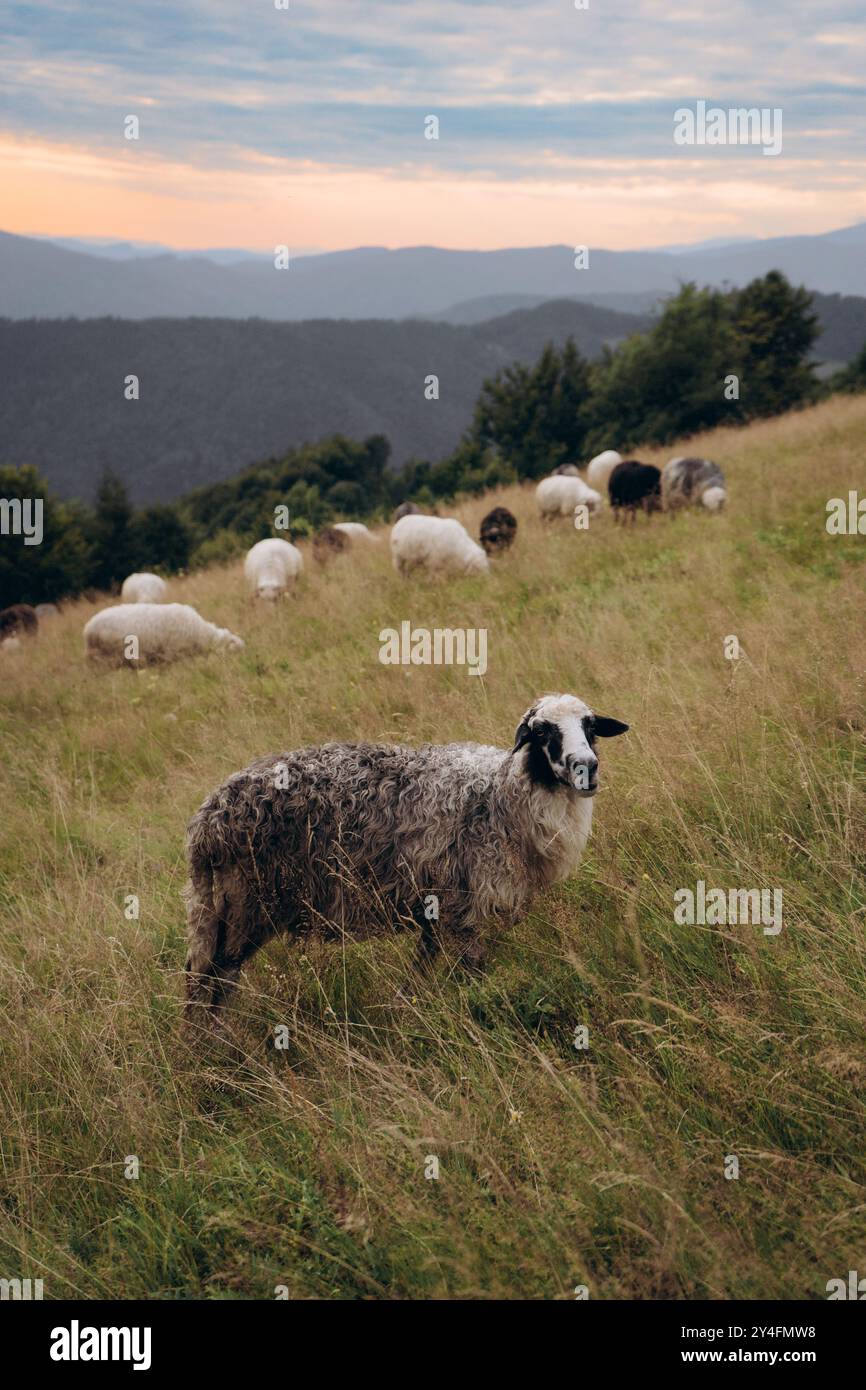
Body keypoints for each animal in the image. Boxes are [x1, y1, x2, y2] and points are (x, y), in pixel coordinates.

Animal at [183, 692, 629, 1027]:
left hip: (221, 907)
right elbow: (473, 969)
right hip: (249, 903)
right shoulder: (464, 906)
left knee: (200, 974)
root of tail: (207, 820)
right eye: (541, 731)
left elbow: (421, 965)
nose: (586, 768)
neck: (502, 796)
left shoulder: (436, 907)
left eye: (591, 726)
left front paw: (406, 1007)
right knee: (215, 977)